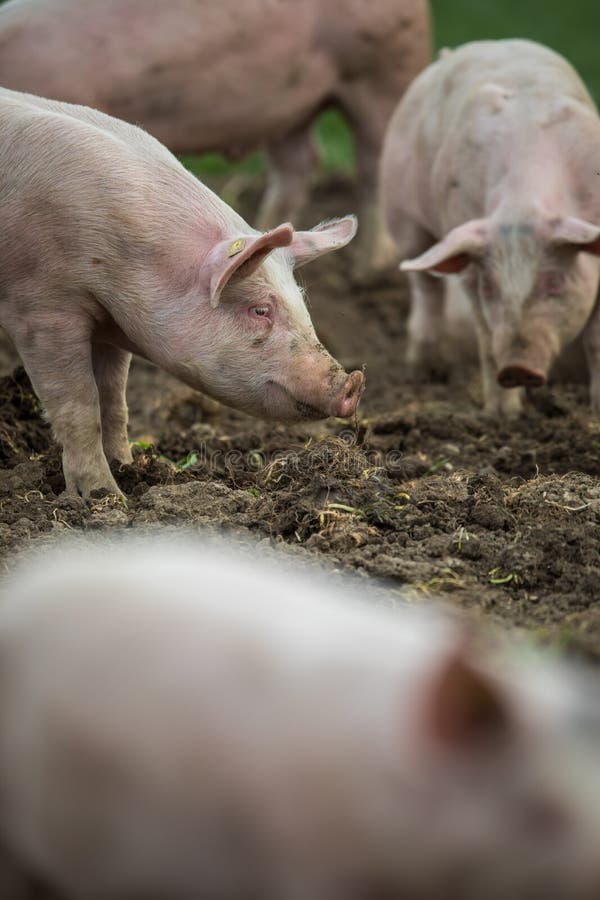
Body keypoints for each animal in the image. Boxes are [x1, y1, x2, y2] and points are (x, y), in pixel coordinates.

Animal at [0, 88, 365, 497]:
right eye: (259, 310)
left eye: (303, 303)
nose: (353, 383)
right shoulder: (40, 310)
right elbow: (80, 407)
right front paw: (106, 497)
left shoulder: (108, 320)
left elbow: (114, 400)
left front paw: (128, 467)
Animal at [381, 39, 600, 415]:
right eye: (490, 287)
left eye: (555, 281)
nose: (517, 369)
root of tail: (452, 54)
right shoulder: (467, 248)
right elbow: (485, 337)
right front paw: (503, 417)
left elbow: (596, 339)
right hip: (403, 214)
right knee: (426, 289)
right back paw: (423, 372)